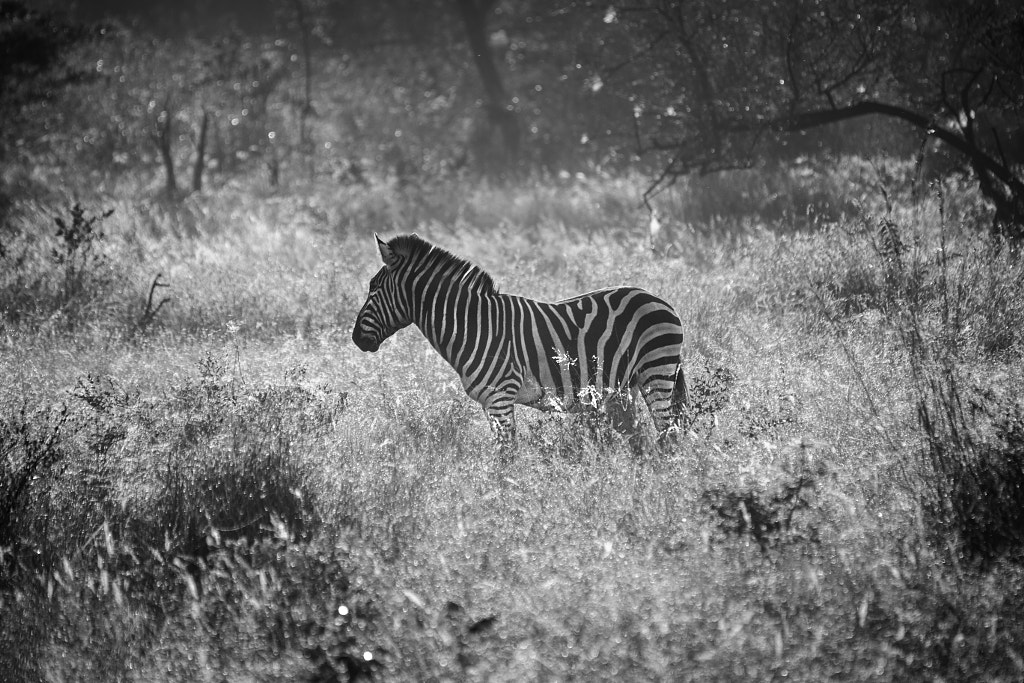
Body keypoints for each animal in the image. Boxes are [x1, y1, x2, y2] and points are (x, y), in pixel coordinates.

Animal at [352, 235, 688, 454]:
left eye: (373, 288)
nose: (356, 339)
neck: (473, 324)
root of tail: (661, 300)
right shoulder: (490, 402)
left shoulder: (500, 396)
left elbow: (506, 456)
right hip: (626, 386)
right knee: (642, 438)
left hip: (655, 372)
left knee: (667, 434)